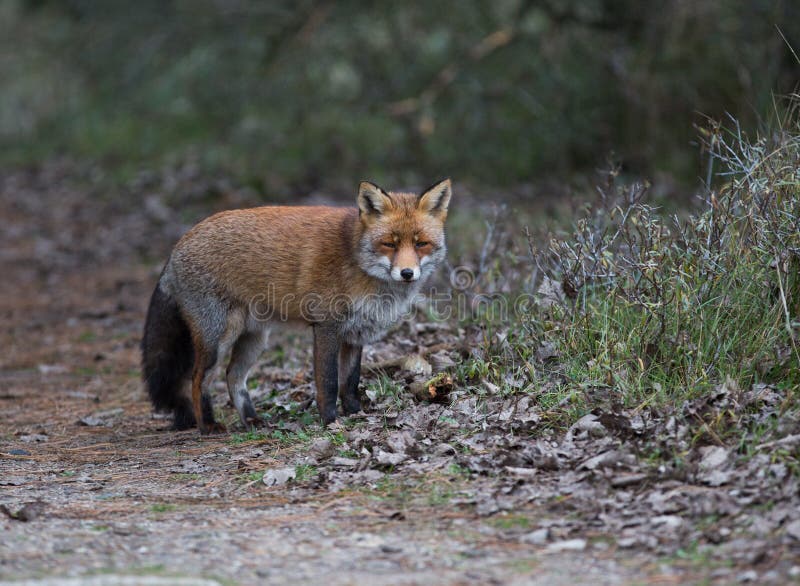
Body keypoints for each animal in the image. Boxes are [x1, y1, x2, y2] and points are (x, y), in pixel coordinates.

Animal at [141, 179, 452, 433]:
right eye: (389, 244)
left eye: (421, 244)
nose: (407, 273)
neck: (355, 260)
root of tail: (177, 247)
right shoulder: (326, 328)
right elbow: (329, 382)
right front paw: (330, 422)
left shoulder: (355, 334)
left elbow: (350, 382)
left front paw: (356, 414)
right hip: (217, 339)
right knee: (197, 381)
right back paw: (207, 425)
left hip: (254, 340)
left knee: (233, 377)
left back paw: (251, 420)